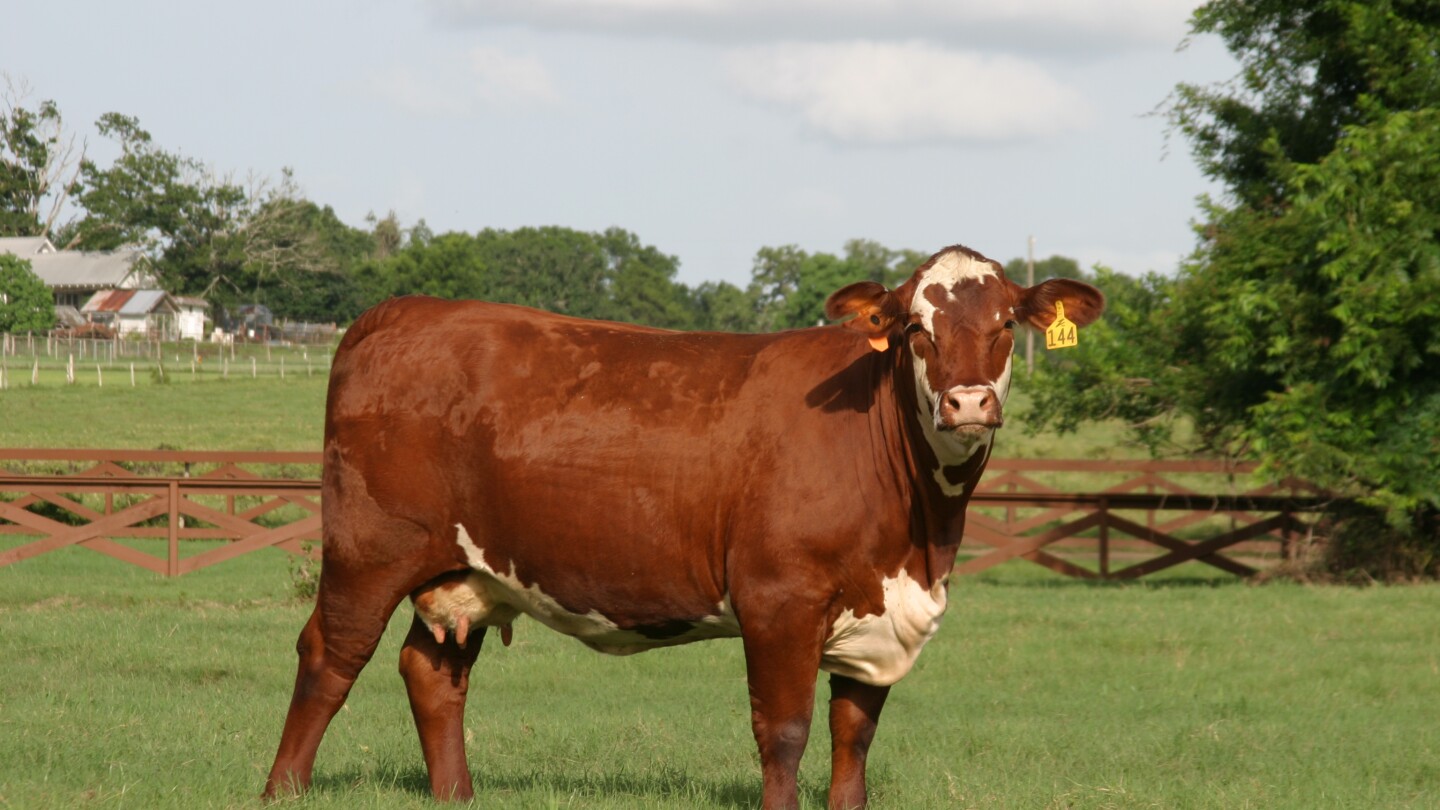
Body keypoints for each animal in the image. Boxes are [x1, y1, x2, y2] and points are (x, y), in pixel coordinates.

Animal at [263, 244, 1104, 809]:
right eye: (918, 329)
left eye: (1005, 323)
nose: (968, 403)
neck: (918, 535)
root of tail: (404, 310)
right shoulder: (778, 600)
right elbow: (786, 730)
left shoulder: (877, 615)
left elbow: (853, 737)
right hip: (369, 551)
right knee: (329, 656)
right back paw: (283, 789)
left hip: (465, 569)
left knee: (433, 671)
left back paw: (457, 795)